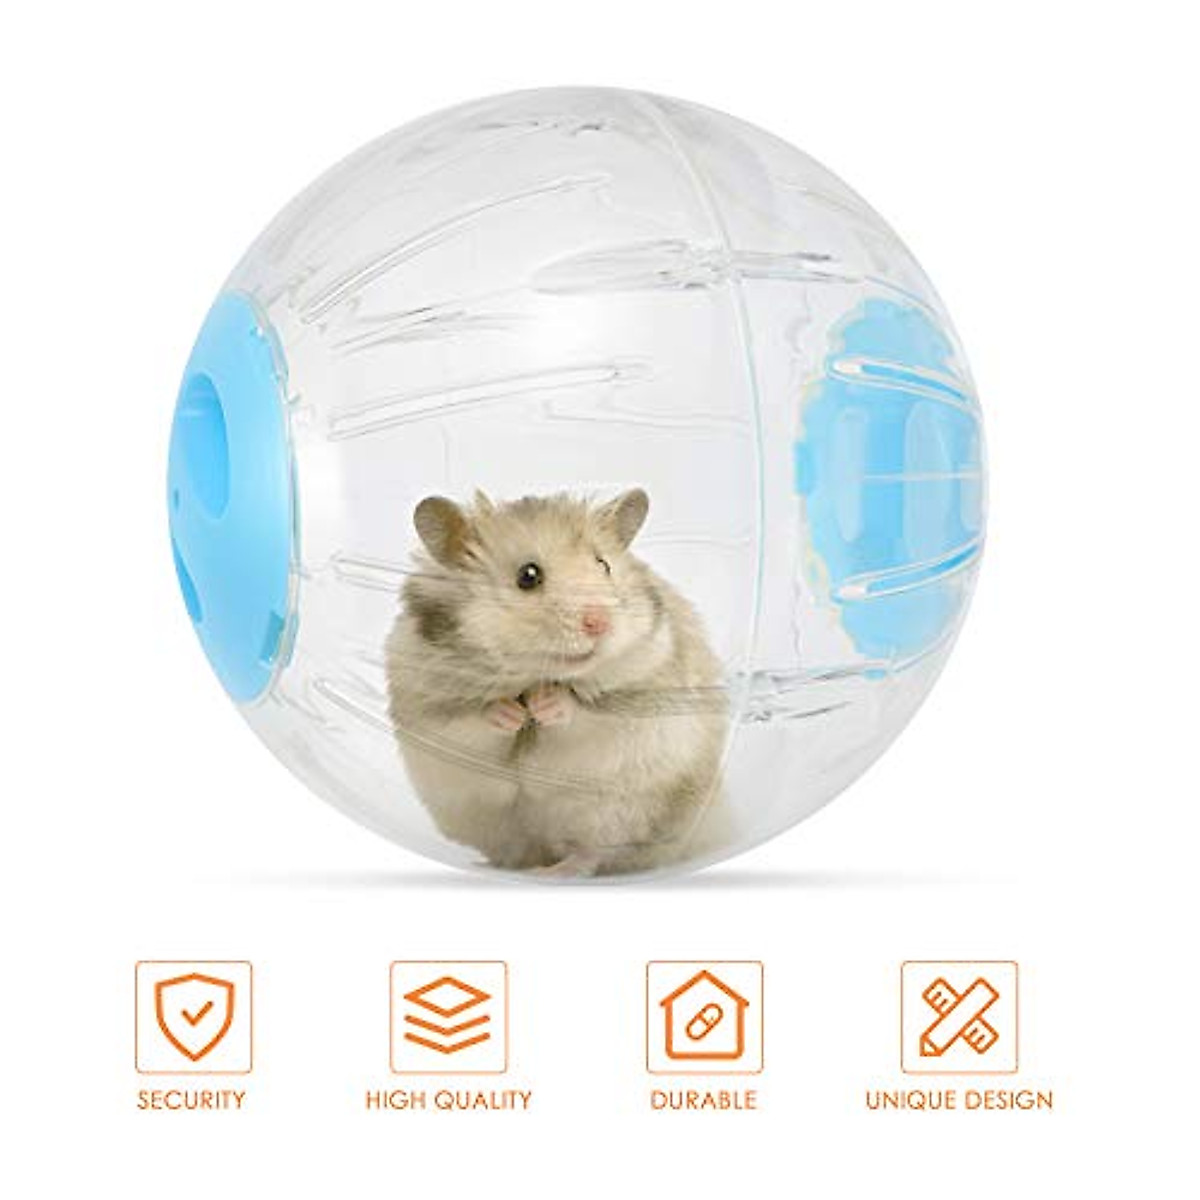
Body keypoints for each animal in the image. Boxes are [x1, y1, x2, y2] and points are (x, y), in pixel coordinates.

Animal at [384, 488, 729, 877]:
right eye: (528, 575)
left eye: (604, 565)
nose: (600, 623)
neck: (536, 675)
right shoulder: (431, 710)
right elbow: (474, 722)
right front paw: (511, 713)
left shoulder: (638, 695)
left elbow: (584, 714)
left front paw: (545, 704)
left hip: (619, 815)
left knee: (591, 854)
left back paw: (553, 871)